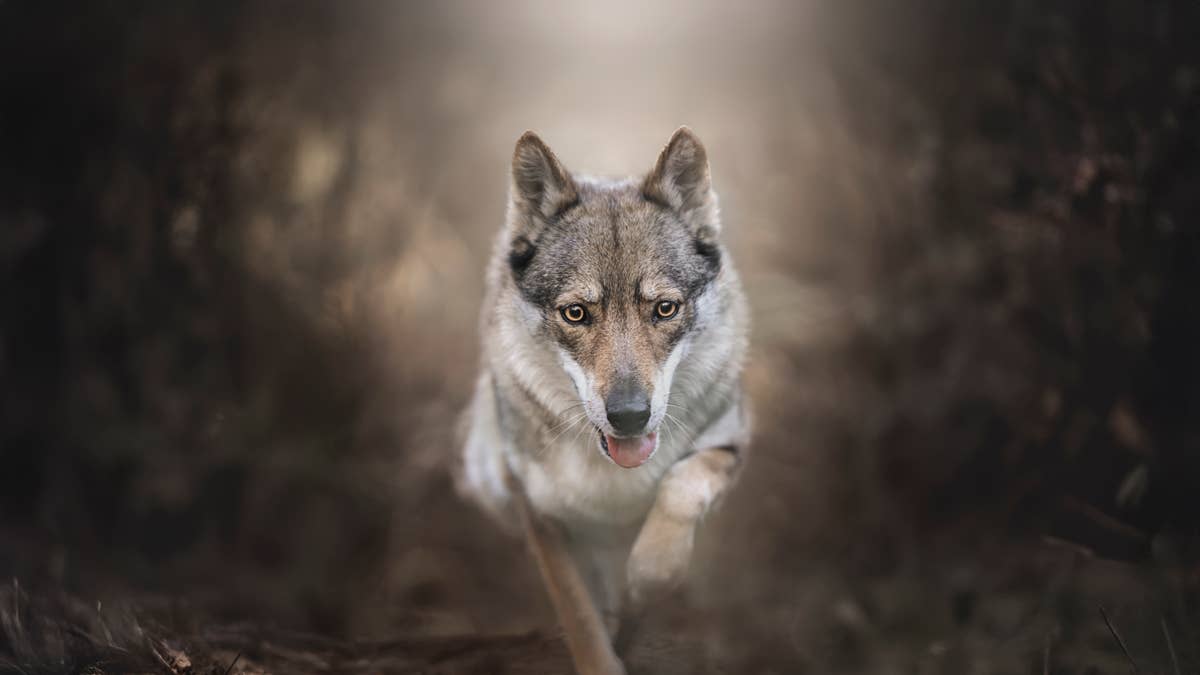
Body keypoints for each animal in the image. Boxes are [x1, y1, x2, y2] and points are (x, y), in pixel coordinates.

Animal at [458, 127, 749, 675]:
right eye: (576, 313)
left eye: (664, 308)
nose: (630, 416)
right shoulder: (542, 513)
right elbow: (581, 615)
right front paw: (603, 651)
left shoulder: (730, 442)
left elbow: (681, 487)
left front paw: (649, 576)